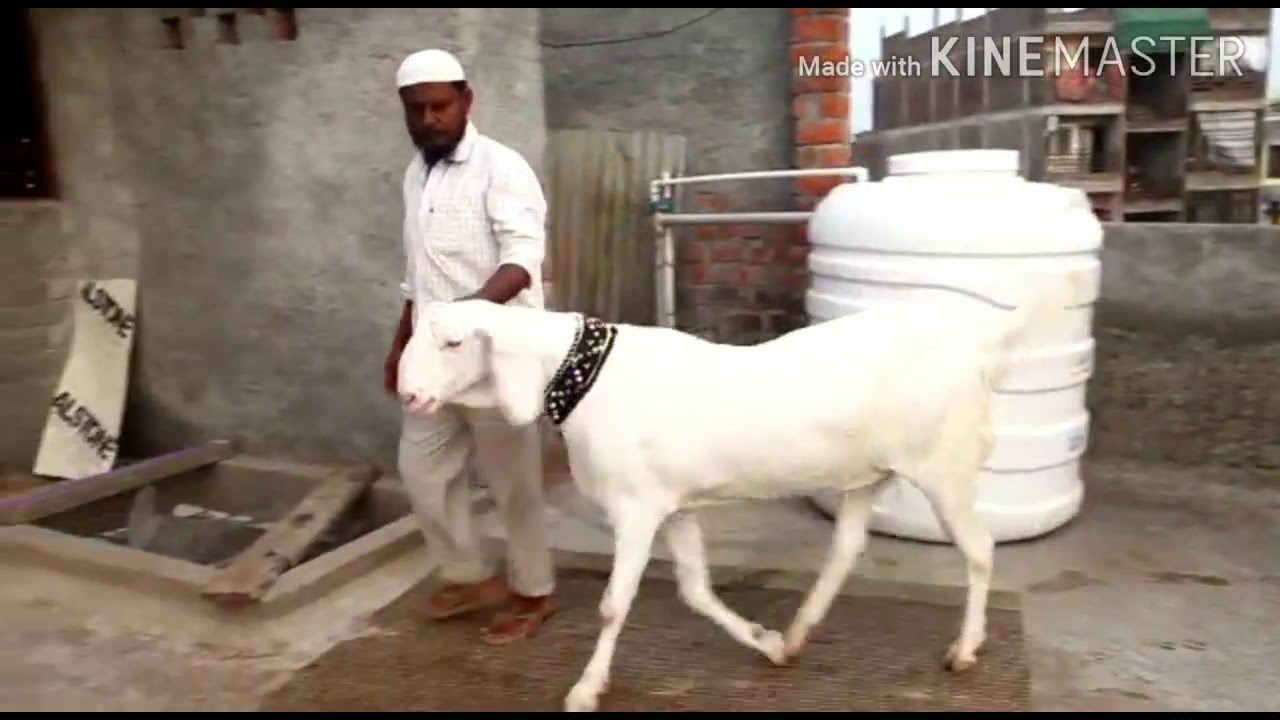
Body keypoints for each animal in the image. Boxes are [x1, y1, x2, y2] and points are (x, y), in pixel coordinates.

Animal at [398, 277, 1079, 712]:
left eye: (454, 343)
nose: (409, 395)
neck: (586, 375)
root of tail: (975, 347)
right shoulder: (673, 507)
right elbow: (697, 591)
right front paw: (765, 642)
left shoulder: (637, 509)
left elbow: (615, 605)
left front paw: (586, 689)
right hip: (869, 473)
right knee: (846, 548)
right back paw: (797, 635)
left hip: (945, 467)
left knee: (980, 549)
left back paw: (964, 649)